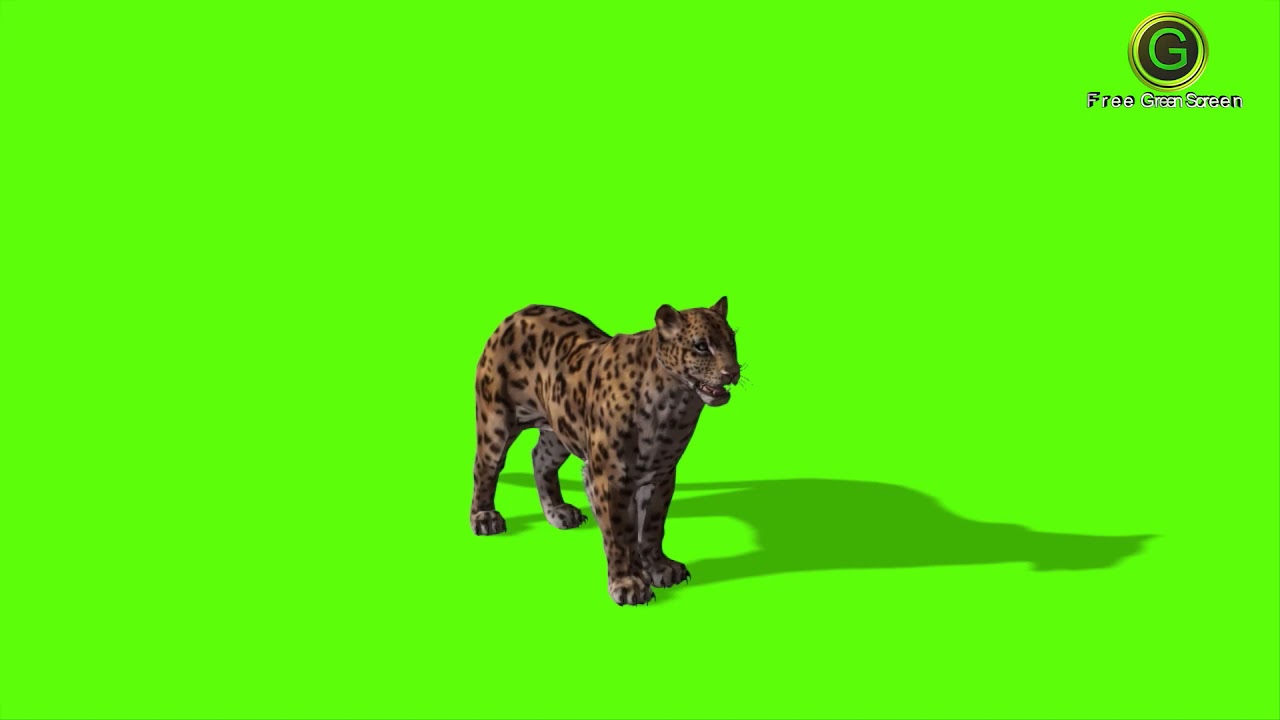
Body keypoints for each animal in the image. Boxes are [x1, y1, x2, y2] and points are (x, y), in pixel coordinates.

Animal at [471, 297, 741, 605]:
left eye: (732, 341)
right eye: (701, 346)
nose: (732, 372)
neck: (675, 404)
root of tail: (516, 314)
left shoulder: (661, 474)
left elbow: (652, 525)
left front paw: (659, 568)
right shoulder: (609, 478)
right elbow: (619, 534)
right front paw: (628, 583)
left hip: (559, 429)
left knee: (539, 458)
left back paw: (558, 512)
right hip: (496, 422)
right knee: (485, 467)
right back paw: (484, 518)